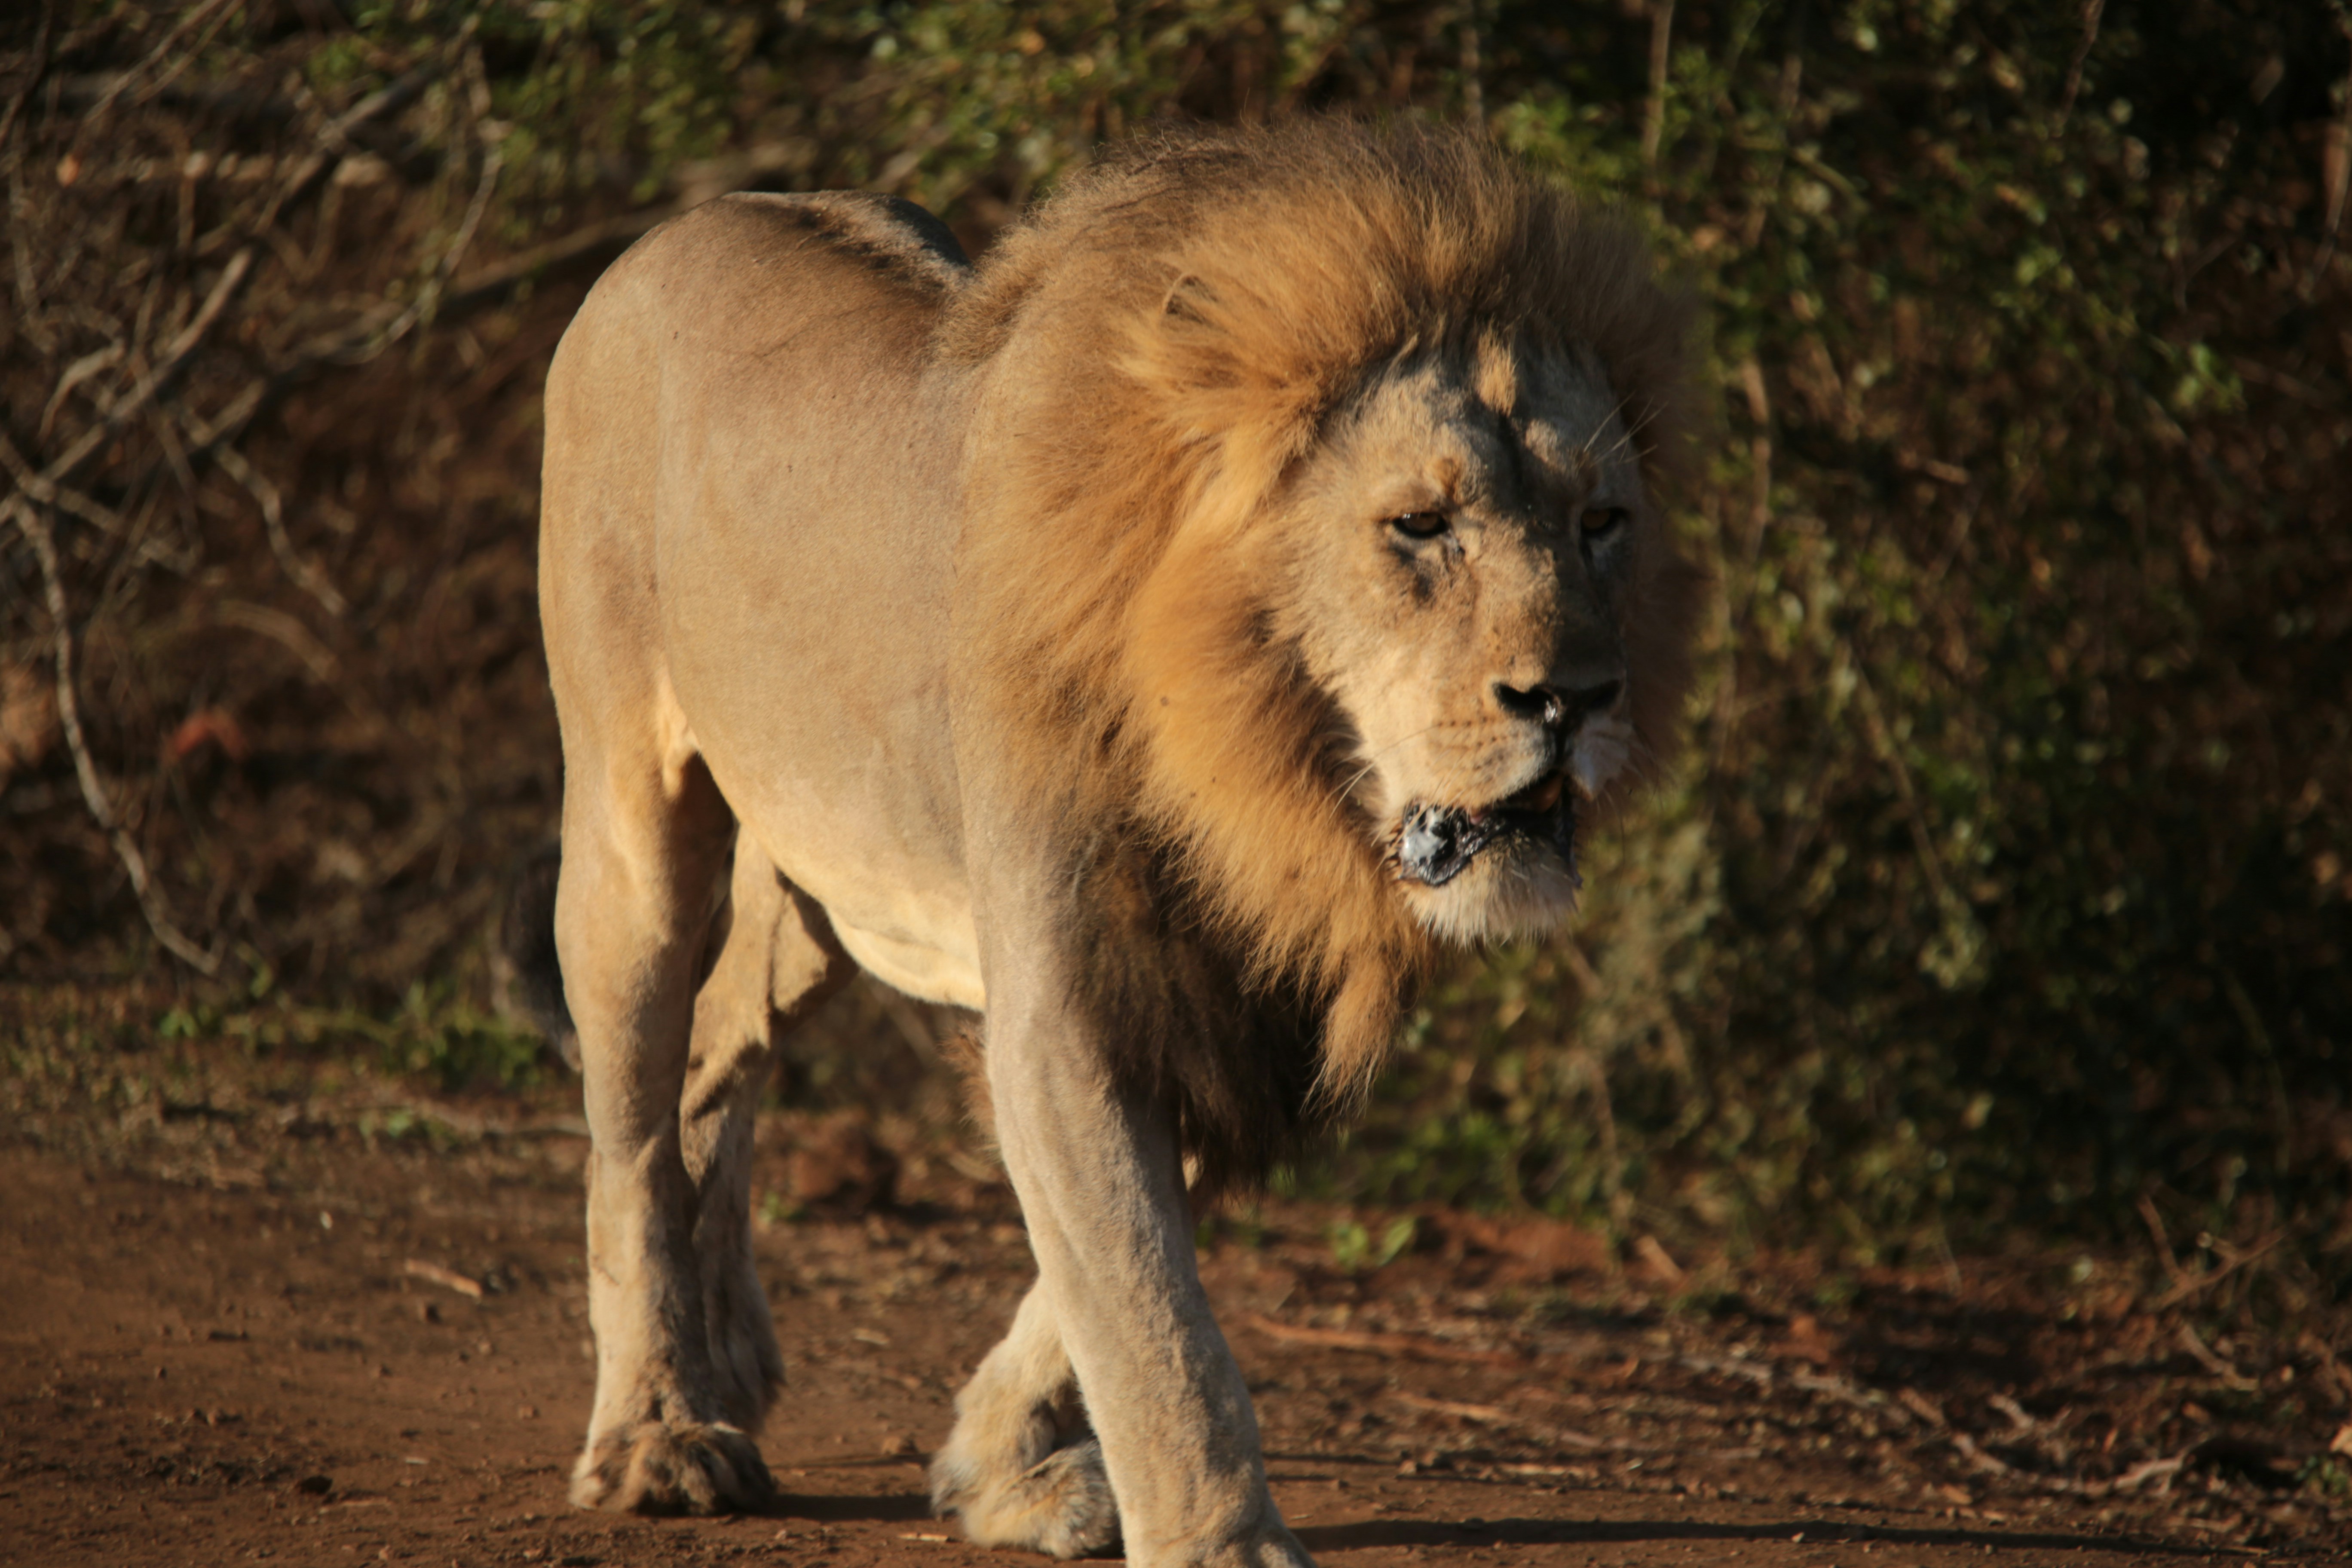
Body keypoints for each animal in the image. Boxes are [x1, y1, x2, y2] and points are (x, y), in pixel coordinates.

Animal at [520, 119, 1701, 1567]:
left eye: (1602, 523)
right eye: (1422, 527)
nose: (1577, 698)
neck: (1275, 768)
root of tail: (690, 220)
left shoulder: (1236, 1002)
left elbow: (1096, 1282)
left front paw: (994, 1473)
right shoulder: (1068, 997)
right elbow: (1152, 1317)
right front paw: (1221, 1542)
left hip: (829, 890)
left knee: (715, 1058)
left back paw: (729, 1350)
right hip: (632, 822)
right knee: (628, 1121)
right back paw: (659, 1430)